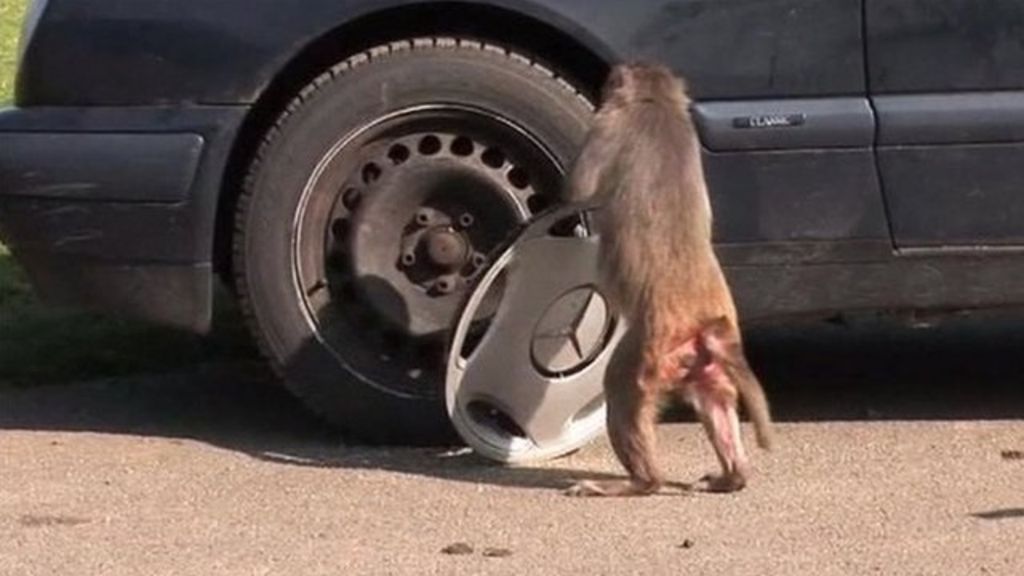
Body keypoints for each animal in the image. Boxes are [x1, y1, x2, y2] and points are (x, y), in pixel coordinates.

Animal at [563, 63, 773, 497]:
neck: (656, 101)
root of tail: (706, 324)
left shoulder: (609, 125)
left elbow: (577, 189)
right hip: (702, 362)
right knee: (713, 399)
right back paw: (732, 477)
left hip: (652, 352)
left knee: (621, 387)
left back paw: (640, 482)